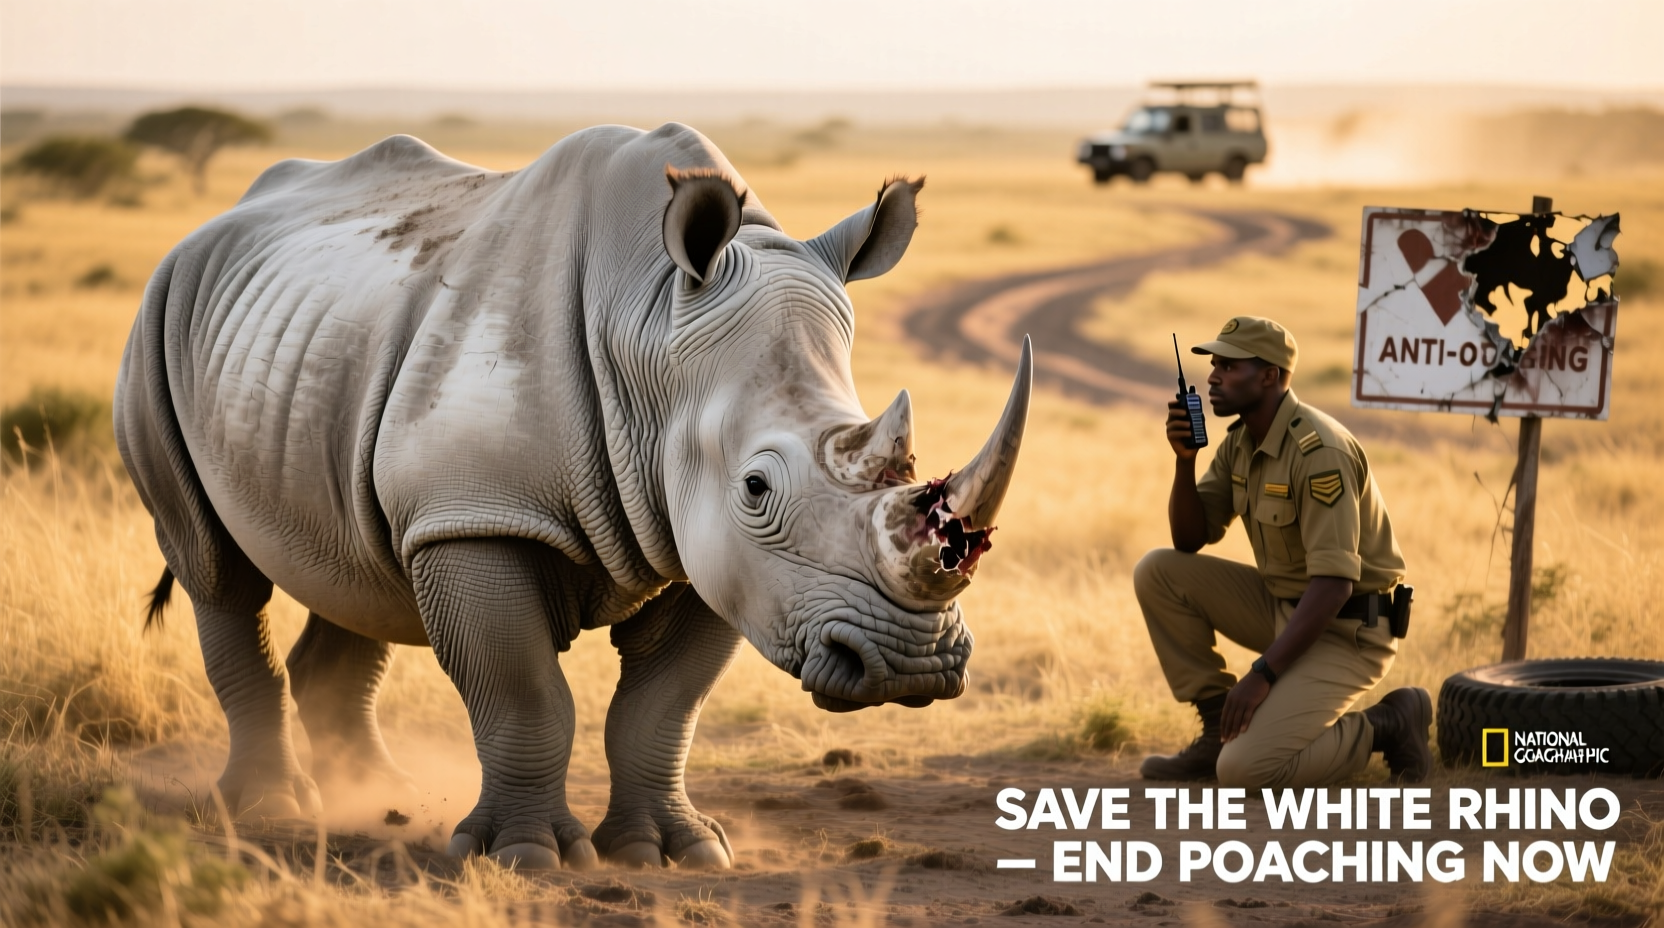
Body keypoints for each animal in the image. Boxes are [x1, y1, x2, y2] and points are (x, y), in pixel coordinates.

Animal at [115, 124, 1031, 870]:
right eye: (757, 485)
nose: (911, 664)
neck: (651, 326)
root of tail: (215, 223)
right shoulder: (478, 516)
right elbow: (524, 694)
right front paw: (523, 857)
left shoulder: (718, 553)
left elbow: (663, 707)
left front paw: (675, 853)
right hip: (157, 319)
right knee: (215, 570)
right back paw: (269, 811)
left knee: (357, 571)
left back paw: (380, 798)